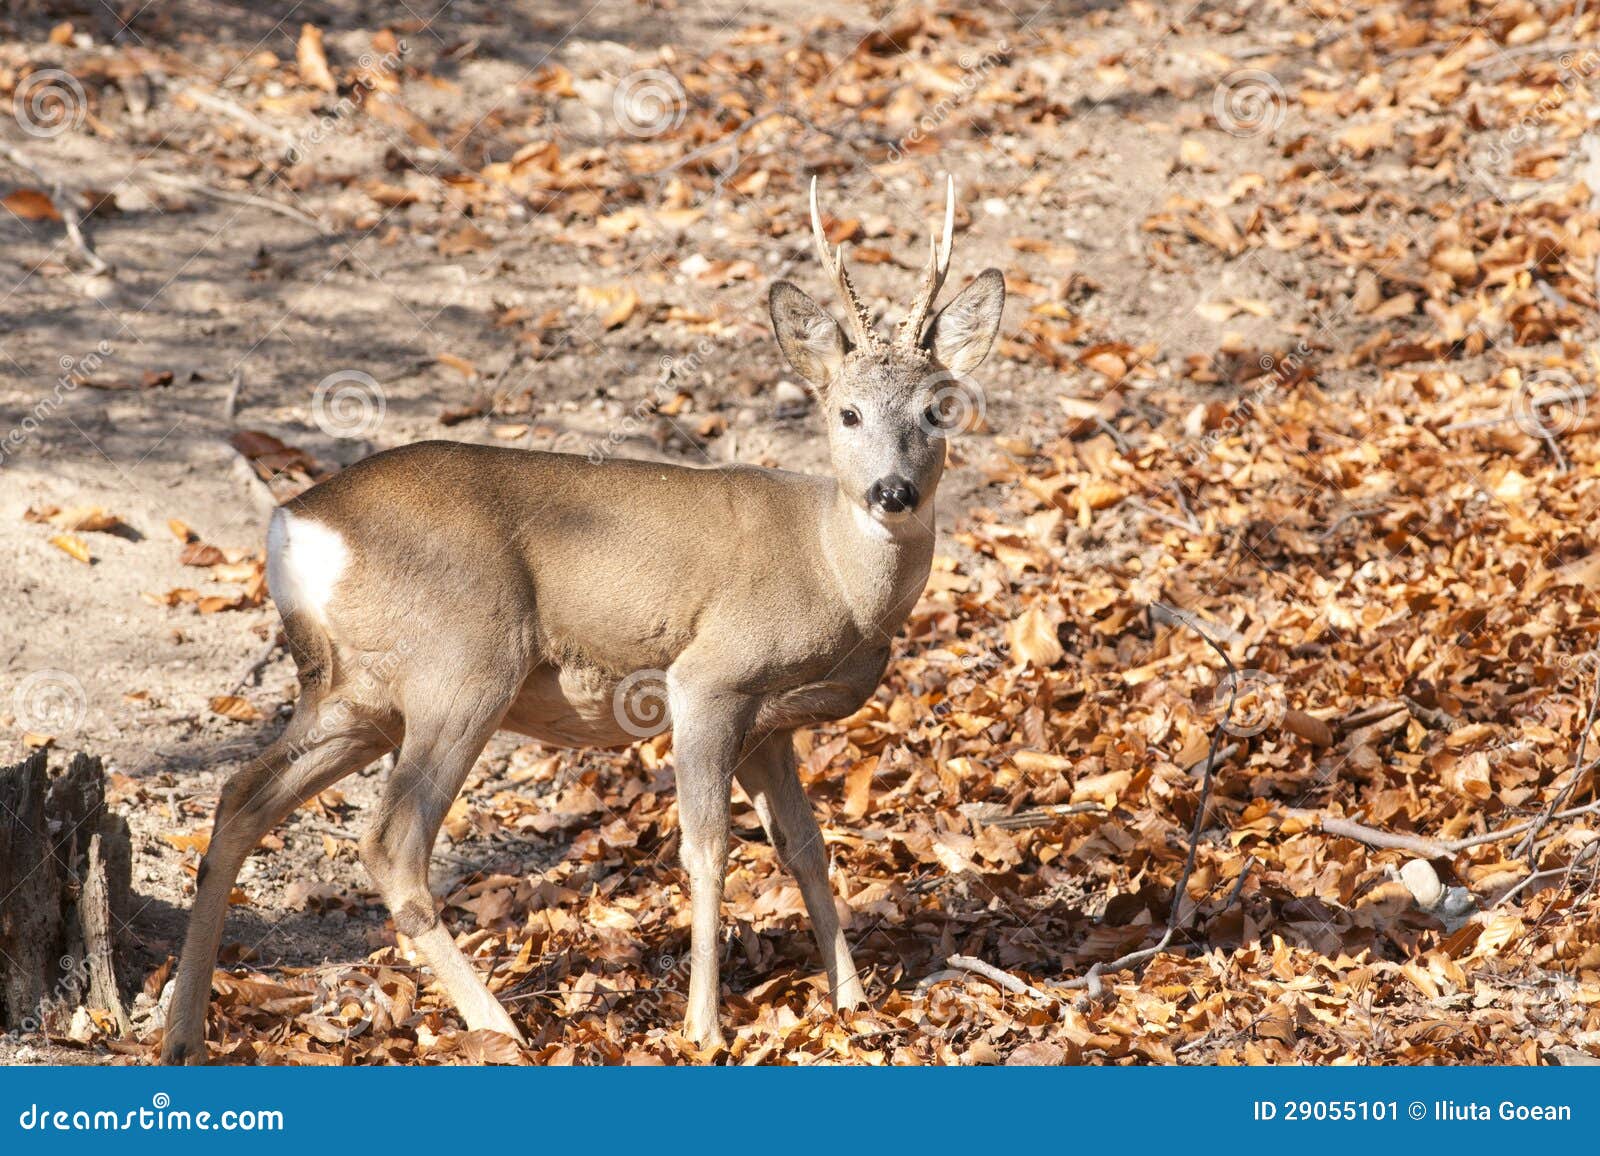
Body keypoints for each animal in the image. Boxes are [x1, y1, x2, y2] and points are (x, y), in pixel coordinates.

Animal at [159, 177, 1005, 1063]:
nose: (891, 492)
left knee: (239, 799)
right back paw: (499, 1026)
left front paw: (853, 1005)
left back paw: (182, 1032)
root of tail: (294, 523)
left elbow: (806, 849)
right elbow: (707, 848)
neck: (832, 573)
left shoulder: (771, 724)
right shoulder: (710, 677)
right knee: (390, 842)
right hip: (463, 664)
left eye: (938, 410)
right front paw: (704, 1028)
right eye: (846, 413)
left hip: (354, 693)